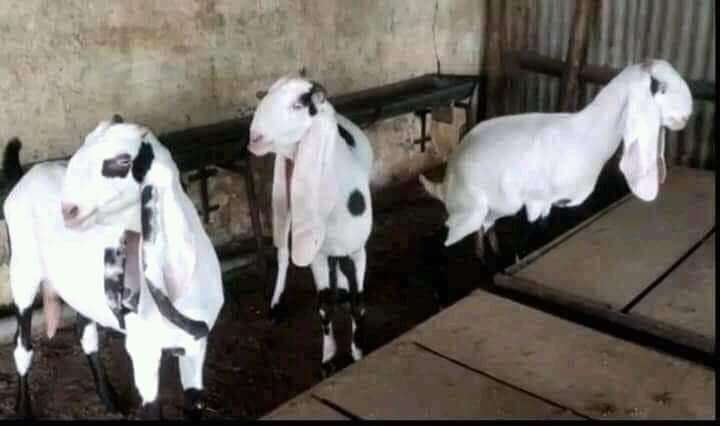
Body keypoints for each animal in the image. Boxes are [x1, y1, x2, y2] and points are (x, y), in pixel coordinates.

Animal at [2, 117, 224, 419]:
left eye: (122, 161)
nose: (68, 210)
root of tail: (26, 176)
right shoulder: (143, 350)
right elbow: (152, 409)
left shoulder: (197, 347)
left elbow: (196, 403)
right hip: (23, 273)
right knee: (22, 345)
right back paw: (24, 408)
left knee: (85, 333)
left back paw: (110, 399)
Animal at [249, 76, 374, 375]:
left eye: (298, 105)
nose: (254, 137)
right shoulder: (316, 254)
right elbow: (323, 307)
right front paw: (329, 358)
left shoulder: (358, 251)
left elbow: (358, 303)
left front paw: (357, 350)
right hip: (286, 206)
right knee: (284, 254)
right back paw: (276, 304)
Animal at [420, 59, 692, 263]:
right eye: (661, 87)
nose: (686, 117)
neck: (588, 133)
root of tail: (446, 183)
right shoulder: (535, 199)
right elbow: (532, 233)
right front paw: (519, 258)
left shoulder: (550, 201)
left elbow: (543, 229)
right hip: (471, 208)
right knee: (455, 230)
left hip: (499, 204)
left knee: (485, 226)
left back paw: (488, 254)